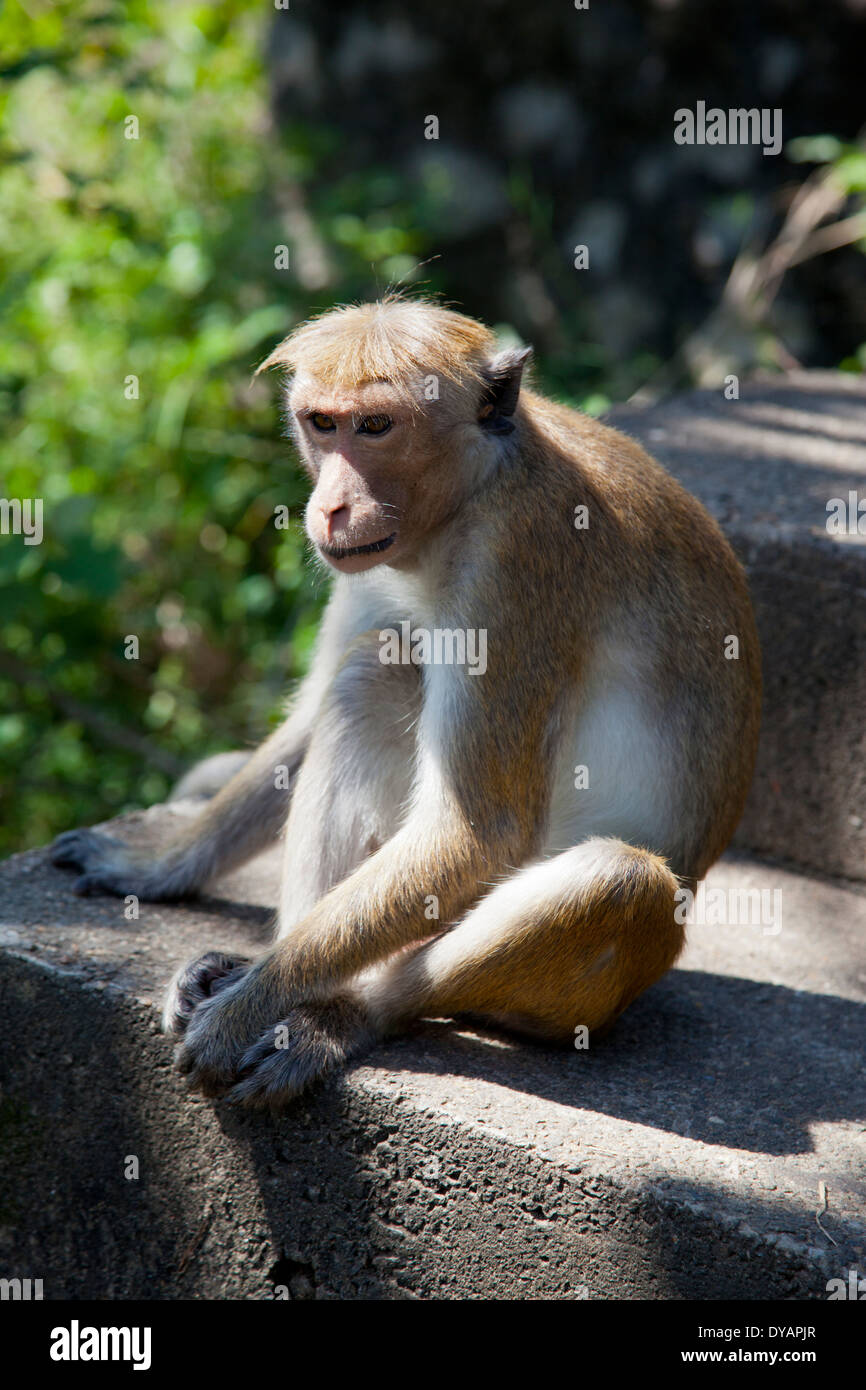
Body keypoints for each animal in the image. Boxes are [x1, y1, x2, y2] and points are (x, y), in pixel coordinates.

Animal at [50, 294, 762, 1108]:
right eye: (322, 424)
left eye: (376, 427)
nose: (330, 506)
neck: (469, 496)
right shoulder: (367, 564)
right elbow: (308, 722)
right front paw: (155, 862)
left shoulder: (517, 560)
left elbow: (480, 833)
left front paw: (247, 1011)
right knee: (372, 672)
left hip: (596, 995)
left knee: (617, 882)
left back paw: (338, 1012)